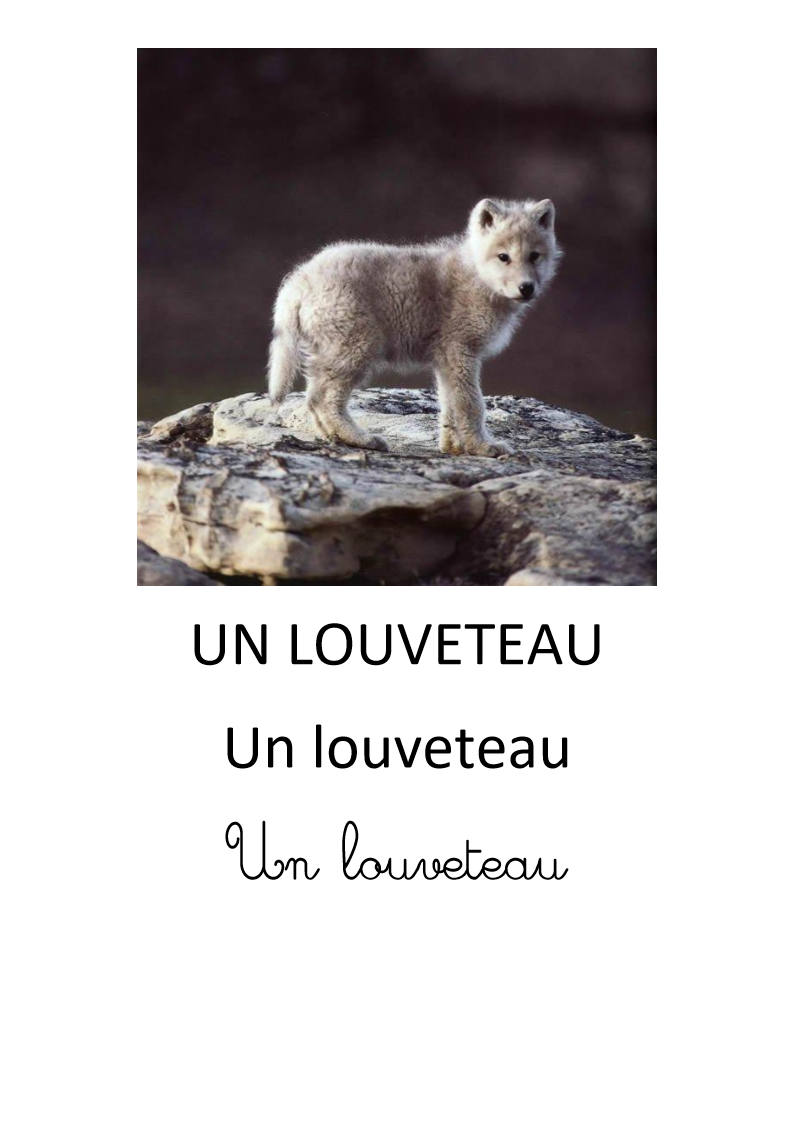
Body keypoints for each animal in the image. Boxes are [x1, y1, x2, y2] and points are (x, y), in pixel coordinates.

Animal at [267, 198, 561, 455]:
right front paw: (482, 447)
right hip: (356, 348)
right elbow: (471, 403)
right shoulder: (461, 351)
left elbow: (449, 404)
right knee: (324, 399)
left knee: (314, 398)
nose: (526, 288)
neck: (476, 277)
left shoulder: (446, 361)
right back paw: (361, 439)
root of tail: (299, 280)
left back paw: (336, 437)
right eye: (503, 257)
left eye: (534, 256)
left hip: (335, 352)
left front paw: (453, 447)